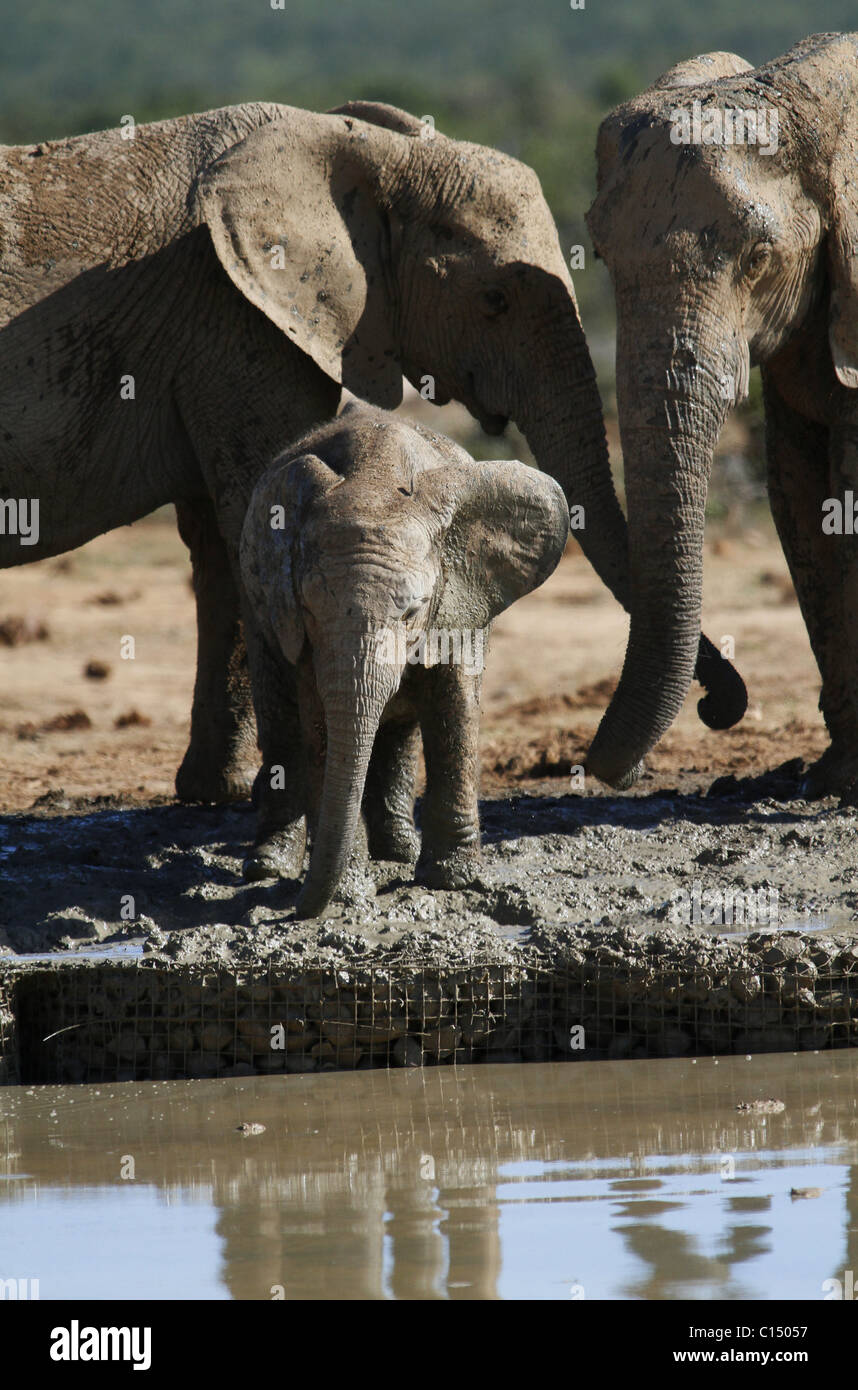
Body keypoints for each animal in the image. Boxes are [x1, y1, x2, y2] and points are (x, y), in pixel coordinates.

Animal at [239, 401, 569, 918]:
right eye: (310, 608)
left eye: (412, 611)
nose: (297, 909)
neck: (375, 476)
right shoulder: (297, 622)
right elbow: (320, 724)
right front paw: (349, 893)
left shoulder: (460, 600)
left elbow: (456, 706)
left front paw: (450, 881)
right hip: (259, 612)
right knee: (281, 723)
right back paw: (268, 866)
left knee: (399, 733)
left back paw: (399, 851)